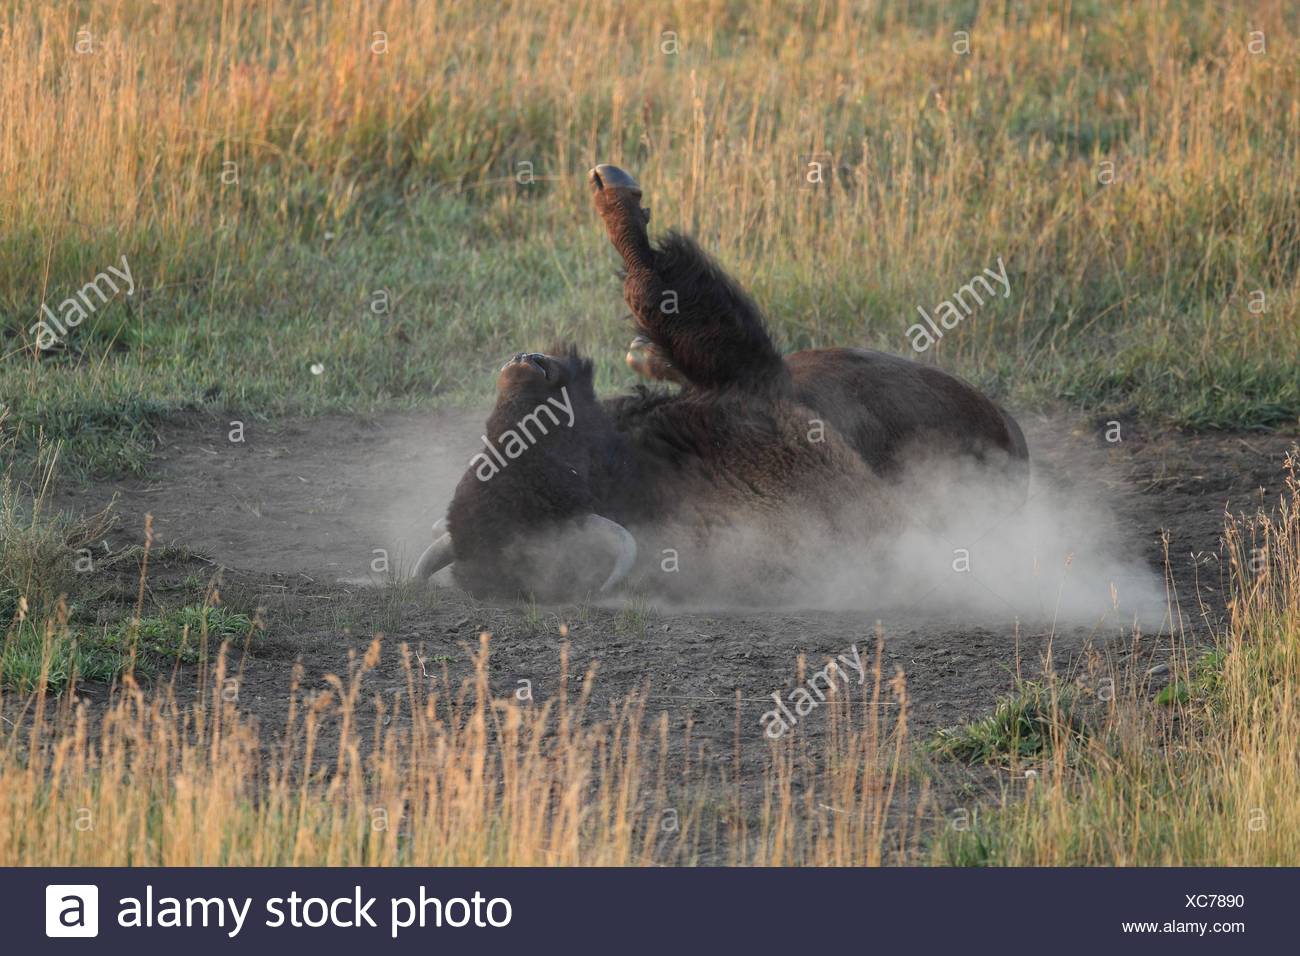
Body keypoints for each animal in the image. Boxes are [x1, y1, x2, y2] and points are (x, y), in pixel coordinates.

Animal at [413, 164, 1028, 601]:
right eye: (562, 466)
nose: (529, 365)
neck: (641, 476)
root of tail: (1012, 442)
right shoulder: (756, 391)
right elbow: (659, 290)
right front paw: (620, 196)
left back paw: (644, 353)